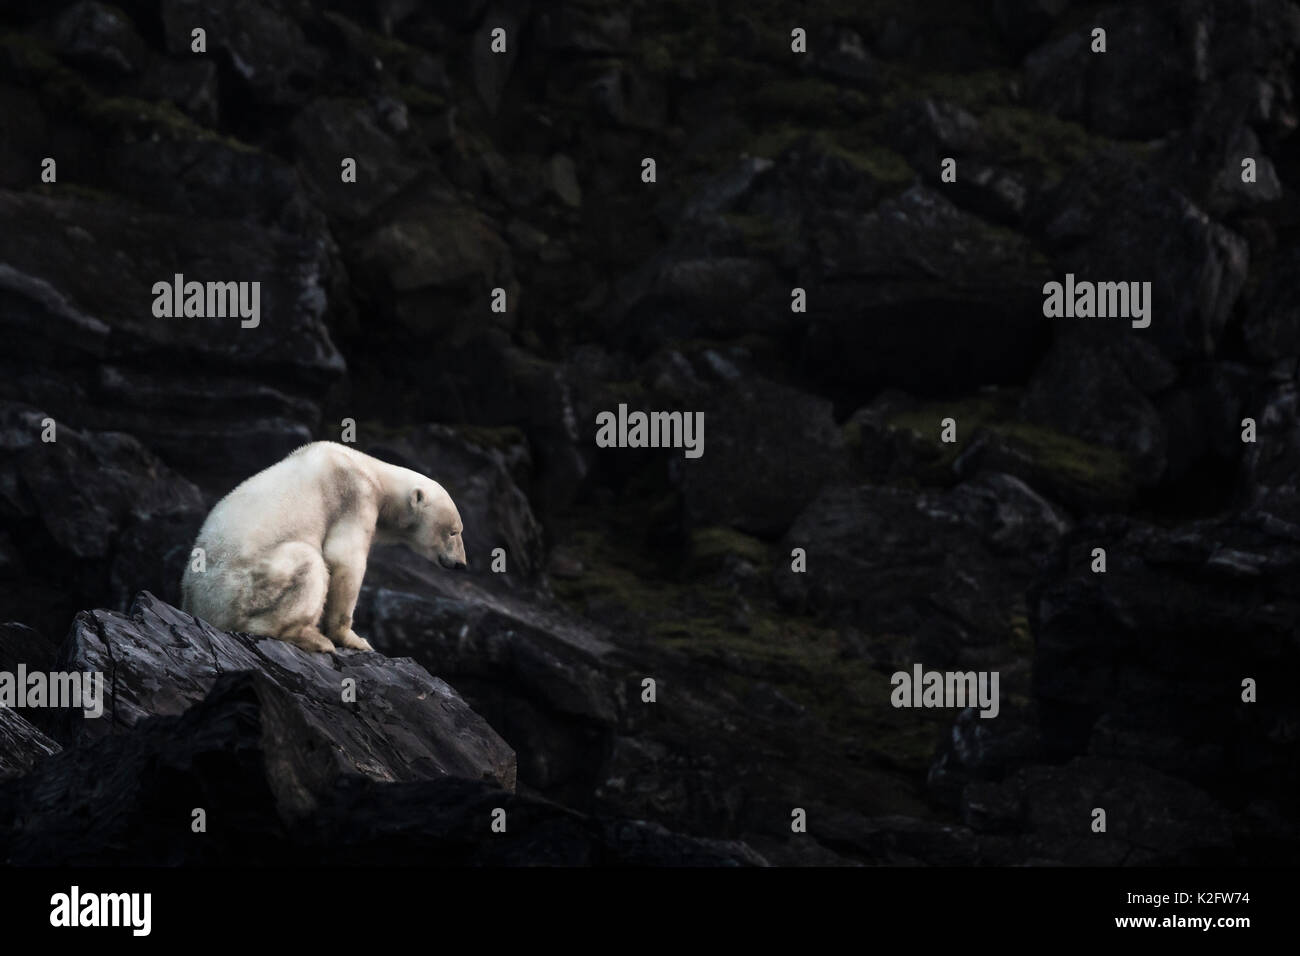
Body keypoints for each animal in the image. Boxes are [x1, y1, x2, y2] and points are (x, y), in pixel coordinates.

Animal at [180, 441, 466, 653]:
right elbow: (344, 560)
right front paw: (355, 639)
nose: (461, 564)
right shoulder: (353, 495)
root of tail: (197, 606)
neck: (370, 470)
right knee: (307, 561)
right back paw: (313, 638)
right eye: (453, 531)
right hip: (242, 590)